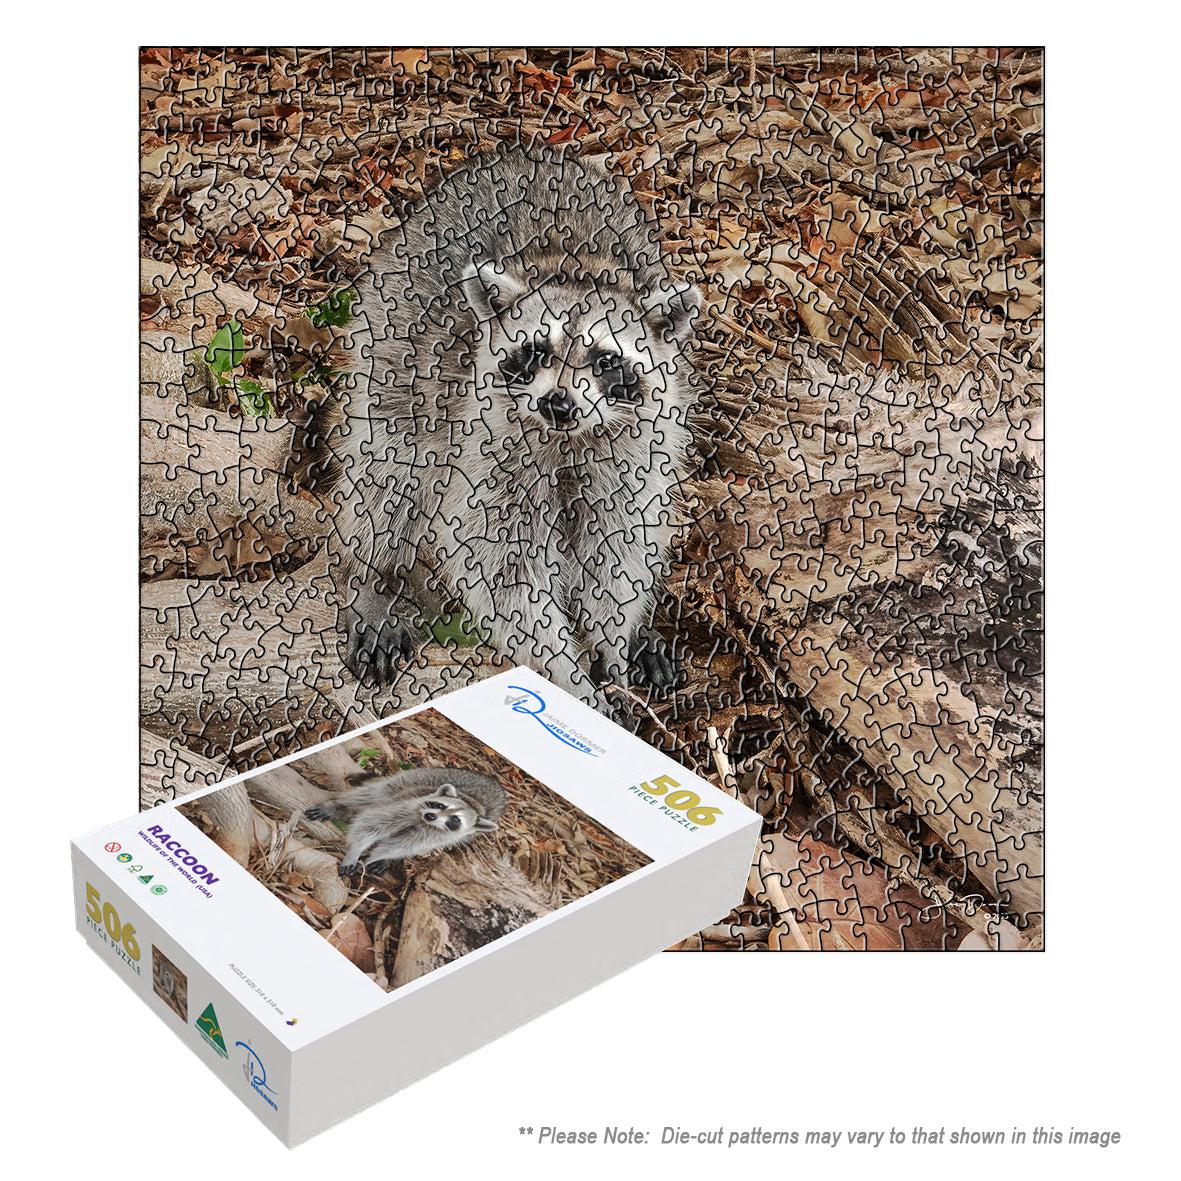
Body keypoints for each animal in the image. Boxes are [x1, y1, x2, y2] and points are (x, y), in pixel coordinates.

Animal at [305, 767, 507, 876]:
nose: (430, 816)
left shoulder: (436, 834)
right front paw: (355, 851)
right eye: (439, 805)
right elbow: (370, 825)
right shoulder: (410, 805)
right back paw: (337, 805)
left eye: (455, 819)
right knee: (372, 794)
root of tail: (494, 783)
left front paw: (376, 857)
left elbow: (402, 845)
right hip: (414, 778)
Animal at [335, 146, 701, 707]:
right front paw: (567, 676)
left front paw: (614, 639)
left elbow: (620, 549)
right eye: (536, 351)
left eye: (606, 361)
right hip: (392, 349)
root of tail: (522, 153)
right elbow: (502, 570)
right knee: (391, 473)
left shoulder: (633, 451)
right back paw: (376, 577)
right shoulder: (488, 447)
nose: (558, 404)